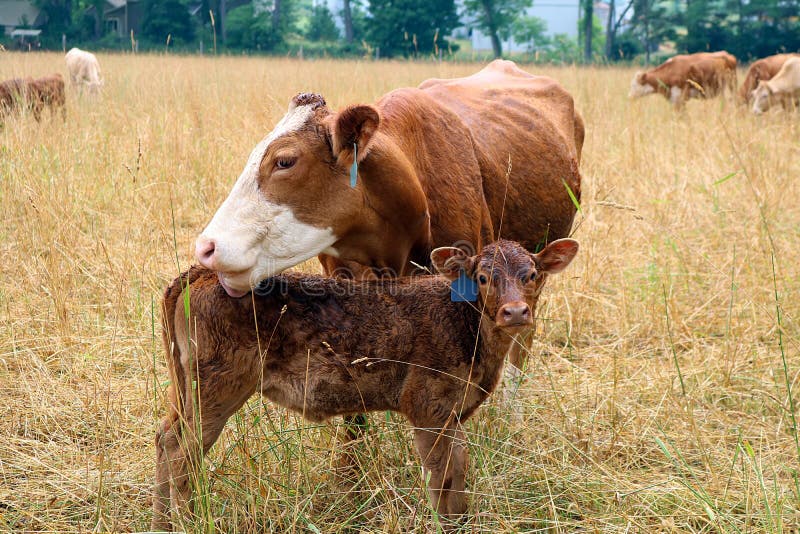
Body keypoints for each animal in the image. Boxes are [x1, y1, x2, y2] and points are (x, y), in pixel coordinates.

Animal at [152, 238, 580, 531]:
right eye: (483, 277)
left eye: (532, 275)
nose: (515, 311)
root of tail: (201, 273)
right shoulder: (427, 407)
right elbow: (440, 476)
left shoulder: (454, 412)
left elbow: (459, 469)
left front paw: (462, 520)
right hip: (217, 386)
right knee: (182, 452)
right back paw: (186, 522)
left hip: (184, 388)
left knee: (164, 439)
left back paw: (162, 522)